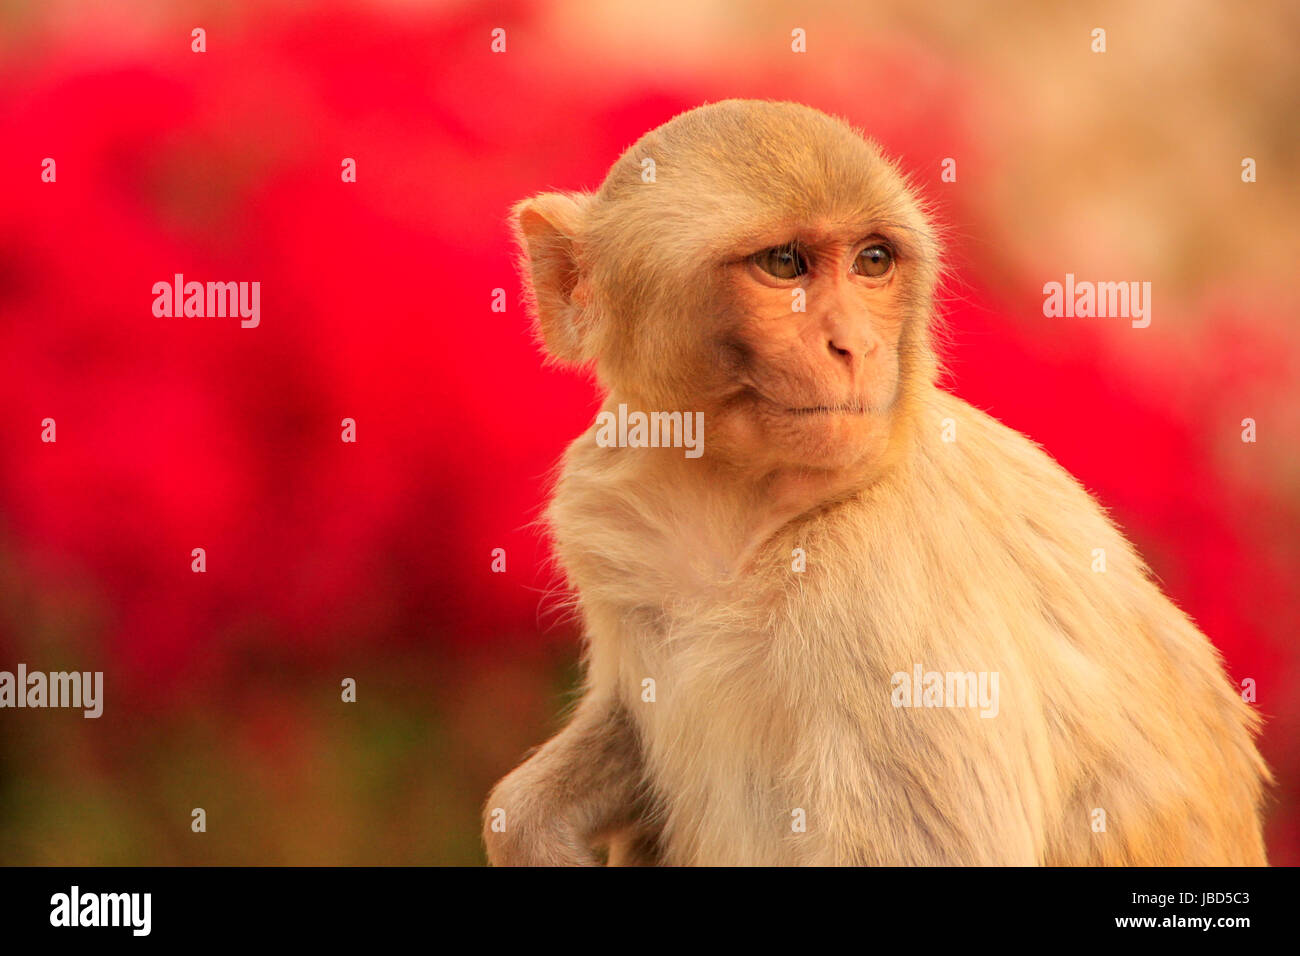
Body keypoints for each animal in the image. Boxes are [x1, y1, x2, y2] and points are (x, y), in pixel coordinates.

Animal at [483, 99, 1270, 866]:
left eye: (872, 261)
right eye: (784, 263)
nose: (856, 345)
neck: (742, 513)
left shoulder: (881, 593)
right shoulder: (608, 514)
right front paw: (529, 822)